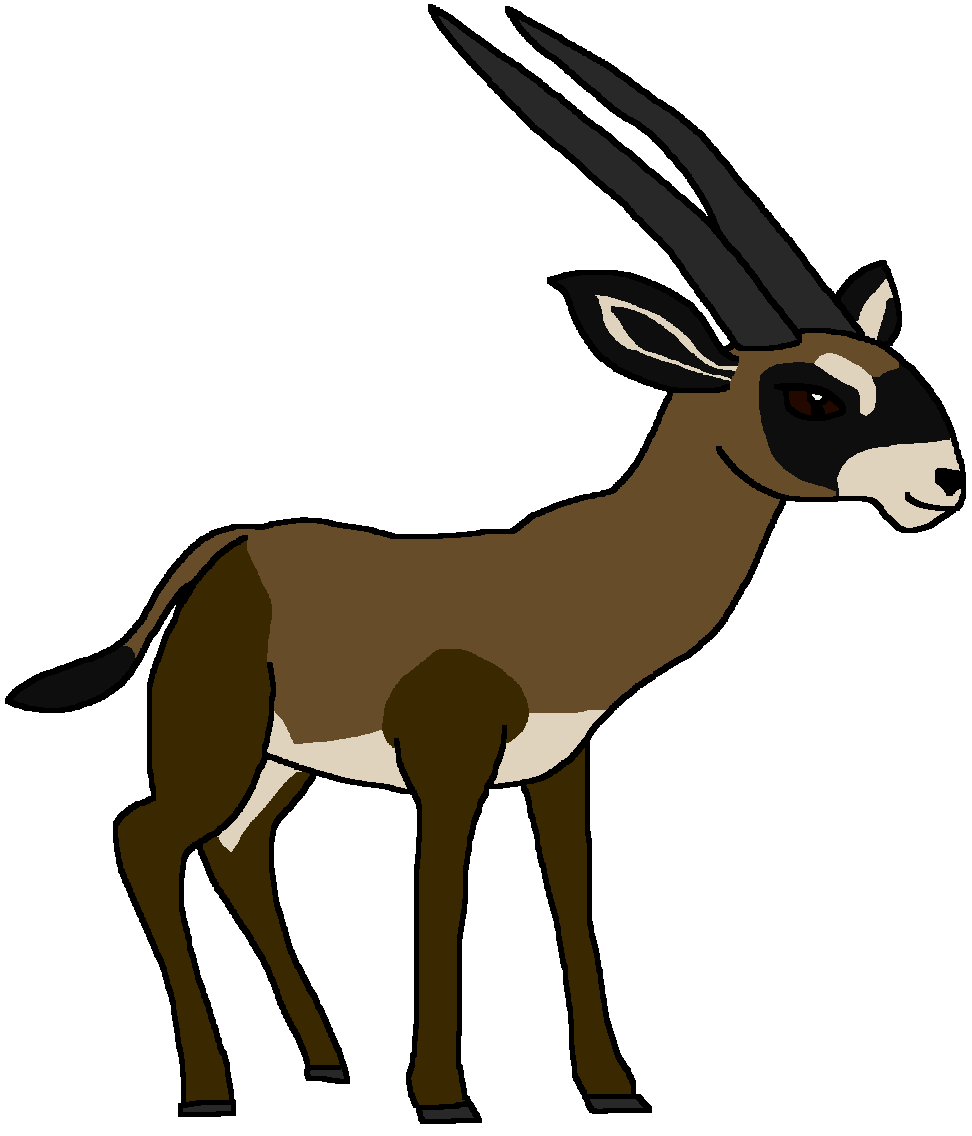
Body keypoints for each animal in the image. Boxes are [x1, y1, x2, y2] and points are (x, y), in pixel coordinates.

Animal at [15, 19, 960, 1120]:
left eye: (890, 370)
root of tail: (234, 547)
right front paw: (442, 1093)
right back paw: (210, 1086)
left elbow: (572, 898)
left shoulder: (558, 767)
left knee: (236, 852)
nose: (944, 477)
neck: (576, 575)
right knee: (147, 838)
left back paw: (326, 1060)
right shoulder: (449, 768)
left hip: (281, 763)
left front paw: (610, 1087)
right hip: (218, 745)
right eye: (809, 394)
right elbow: (444, 898)